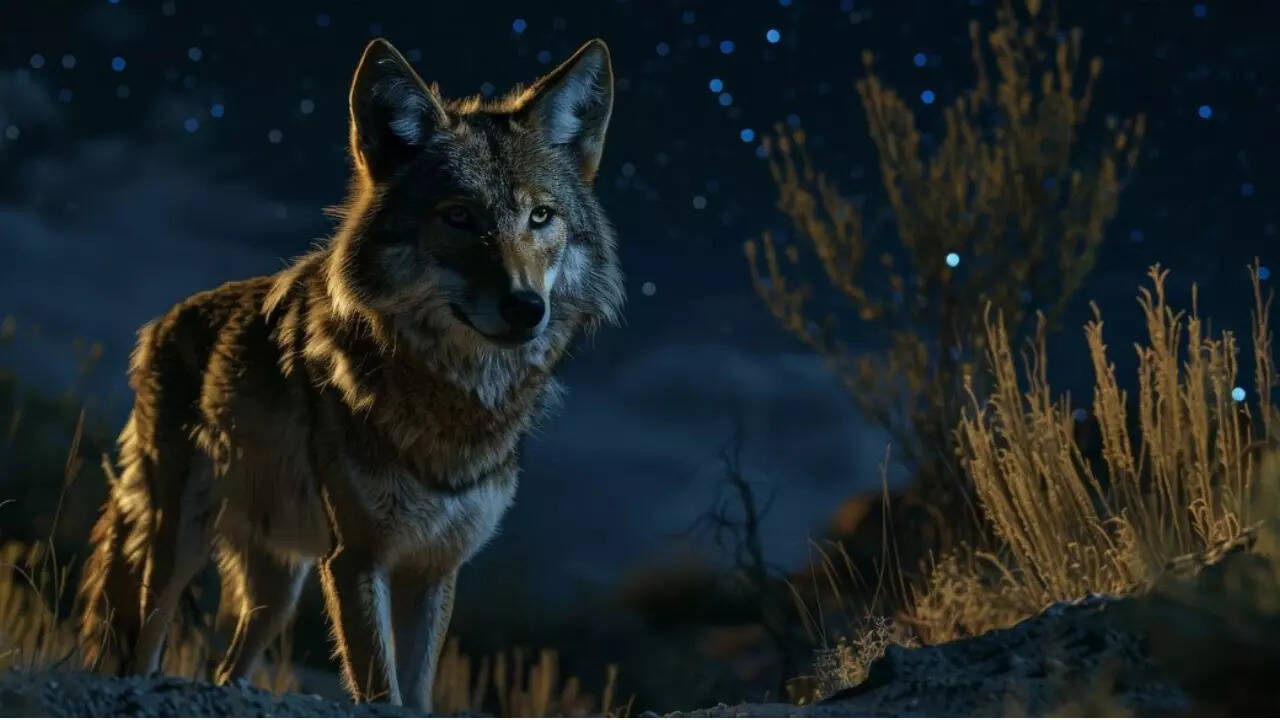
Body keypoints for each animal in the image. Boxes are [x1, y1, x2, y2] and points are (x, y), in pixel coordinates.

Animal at [75, 37, 622, 711]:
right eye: (459, 216)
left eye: (541, 217)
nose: (526, 307)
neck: (456, 404)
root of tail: (158, 323)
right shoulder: (359, 558)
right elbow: (381, 689)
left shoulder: (434, 569)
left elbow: (416, 695)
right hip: (178, 545)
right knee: (142, 650)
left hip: (279, 589)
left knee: (228, 670)